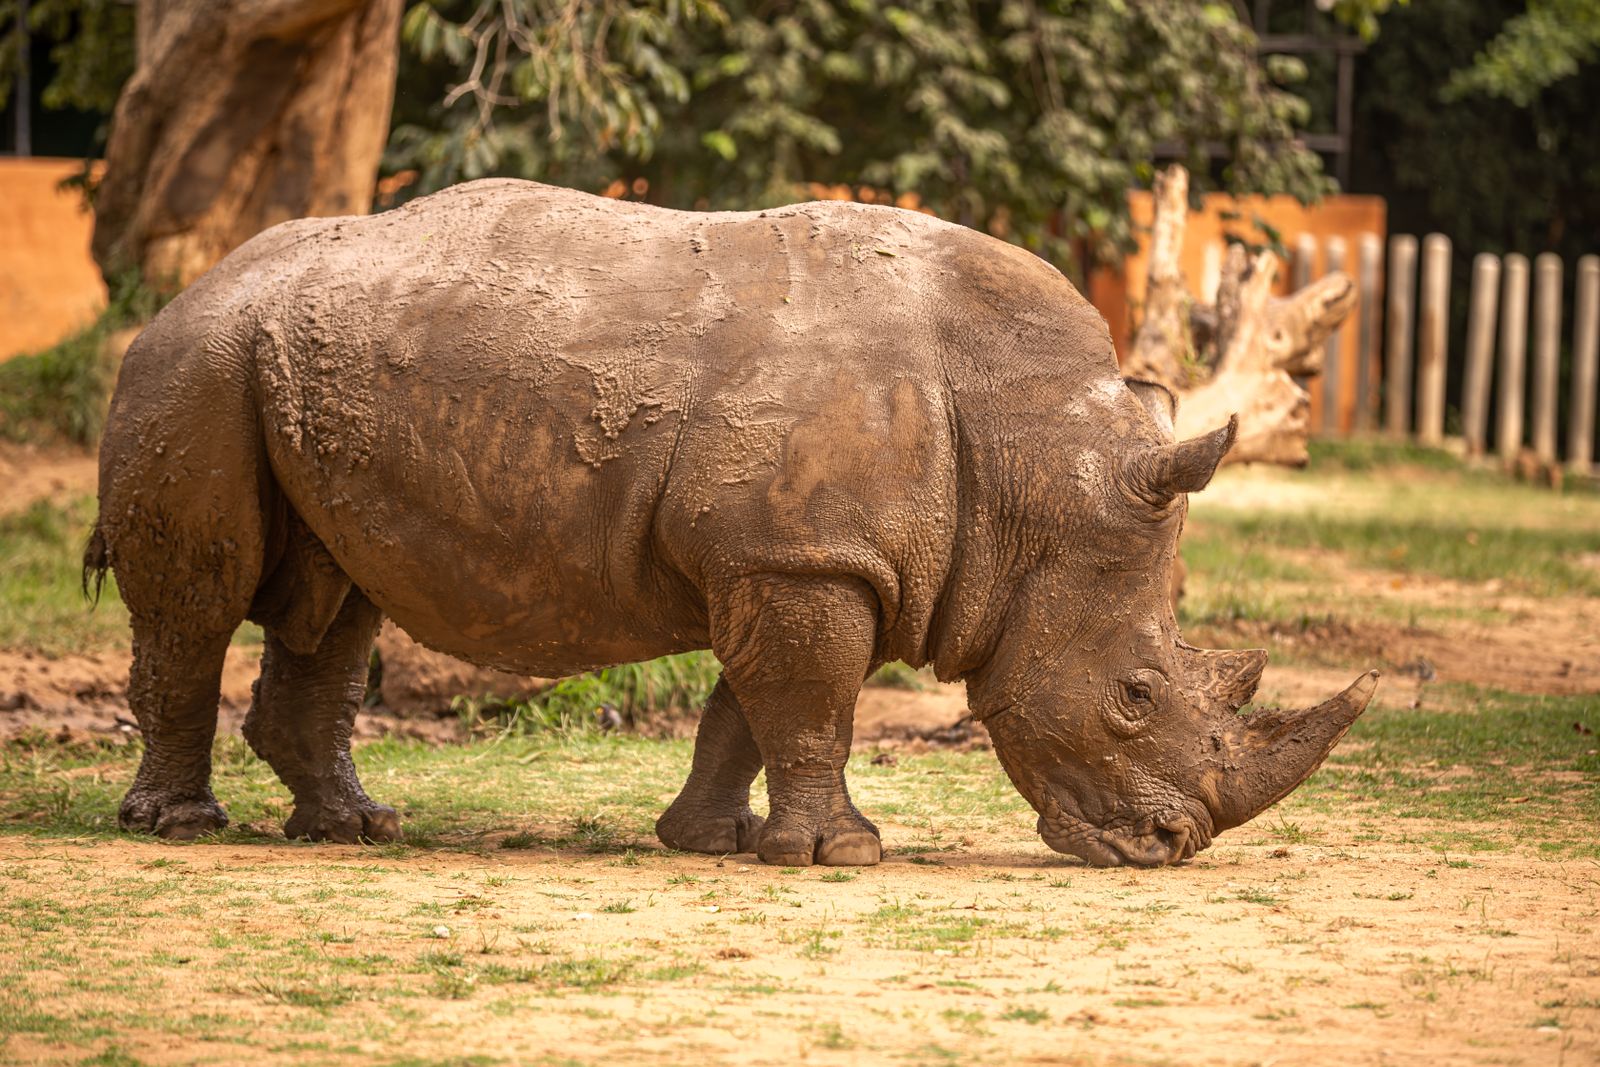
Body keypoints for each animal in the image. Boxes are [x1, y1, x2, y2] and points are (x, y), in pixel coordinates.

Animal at [87, 180, 1377, 867]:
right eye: (1134, 696)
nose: (1171, 845)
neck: (1038, 473)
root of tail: (188, 288)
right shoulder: (800, 556)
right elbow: (810, 700)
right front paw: (843, 854)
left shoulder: (790, 552)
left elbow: (750, 708)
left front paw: (712, 841)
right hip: (195, 362)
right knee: (200, 600)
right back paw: (181, 826)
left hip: (296, 367)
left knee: (339, 596)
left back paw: (355, 827)